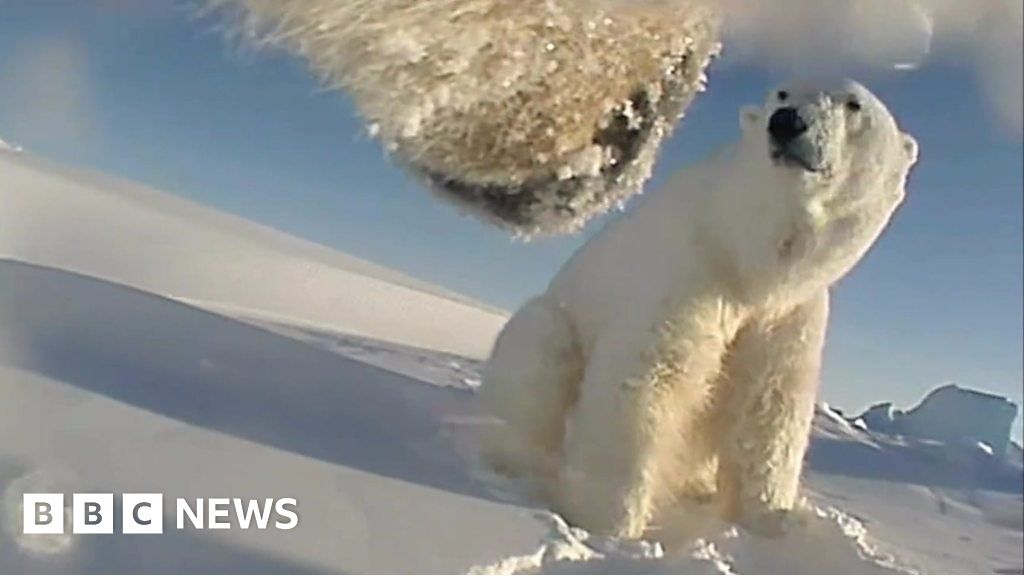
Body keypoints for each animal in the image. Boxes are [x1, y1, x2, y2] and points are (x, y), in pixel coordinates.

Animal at [480, 79, 918, 538]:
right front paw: (610, 522)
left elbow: (771, 409)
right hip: (550, 325)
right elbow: (646, 377)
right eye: (781, 94)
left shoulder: (790, 315)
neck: (748, 259)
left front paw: (773, 520)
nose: (787, 122)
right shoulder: (688, 271)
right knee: (539, 351)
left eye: (854, 104)